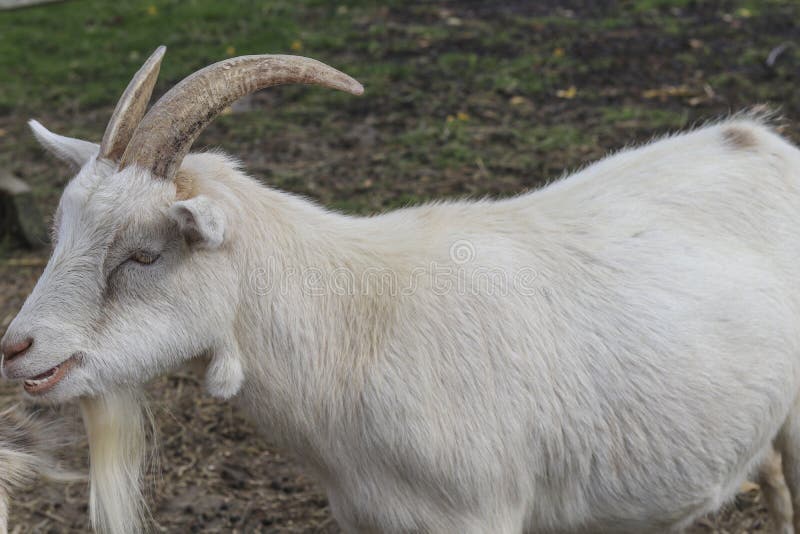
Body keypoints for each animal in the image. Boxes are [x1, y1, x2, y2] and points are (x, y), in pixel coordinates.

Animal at [2, 45, 800, 533]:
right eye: (62, 229)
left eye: (142, 254)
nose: (16, 348)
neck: (357, 323)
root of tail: (759, 139)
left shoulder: (479, 513)